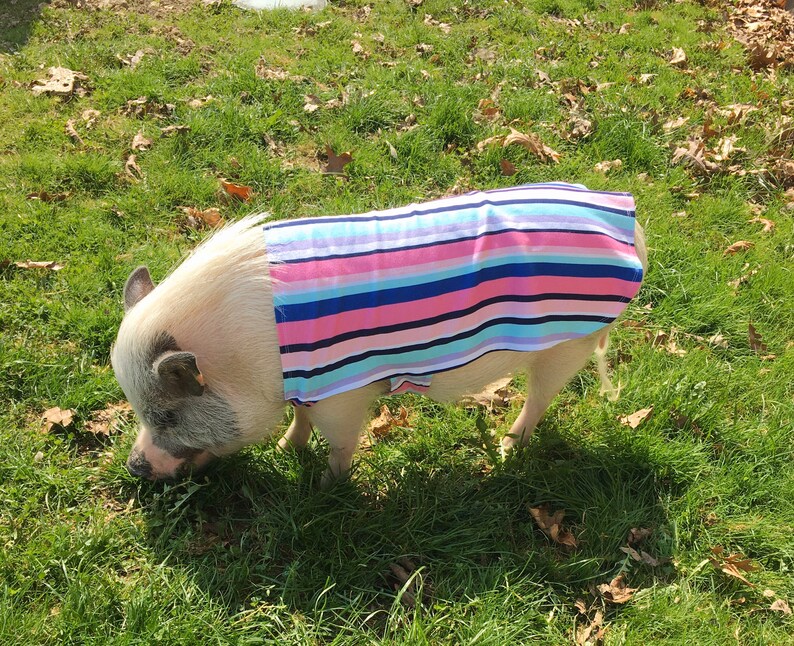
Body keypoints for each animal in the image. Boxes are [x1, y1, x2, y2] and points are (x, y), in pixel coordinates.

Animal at [111, 183, 647, 486]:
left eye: (167, 415)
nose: (134, 468)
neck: (252, 364)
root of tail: (632, 231)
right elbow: (300, 420)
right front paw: (286, 449)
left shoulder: (342, 395)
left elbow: (340, 442)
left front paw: (326, 487)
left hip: (570, 343)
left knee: (538, 400)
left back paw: (506, 449)